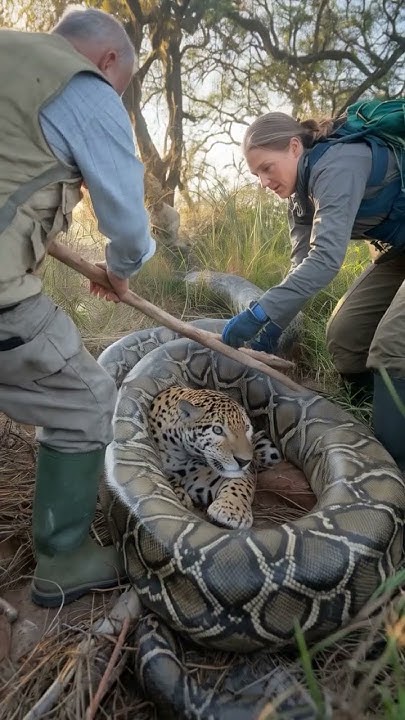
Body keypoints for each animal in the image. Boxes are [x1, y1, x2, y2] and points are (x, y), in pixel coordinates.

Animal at [148, 386, 282, 529]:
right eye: (217, 430)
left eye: (246, 428)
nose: (244, 461)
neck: (185, 457)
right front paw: (182, 497)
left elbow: (241, 484)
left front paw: (233, 511)